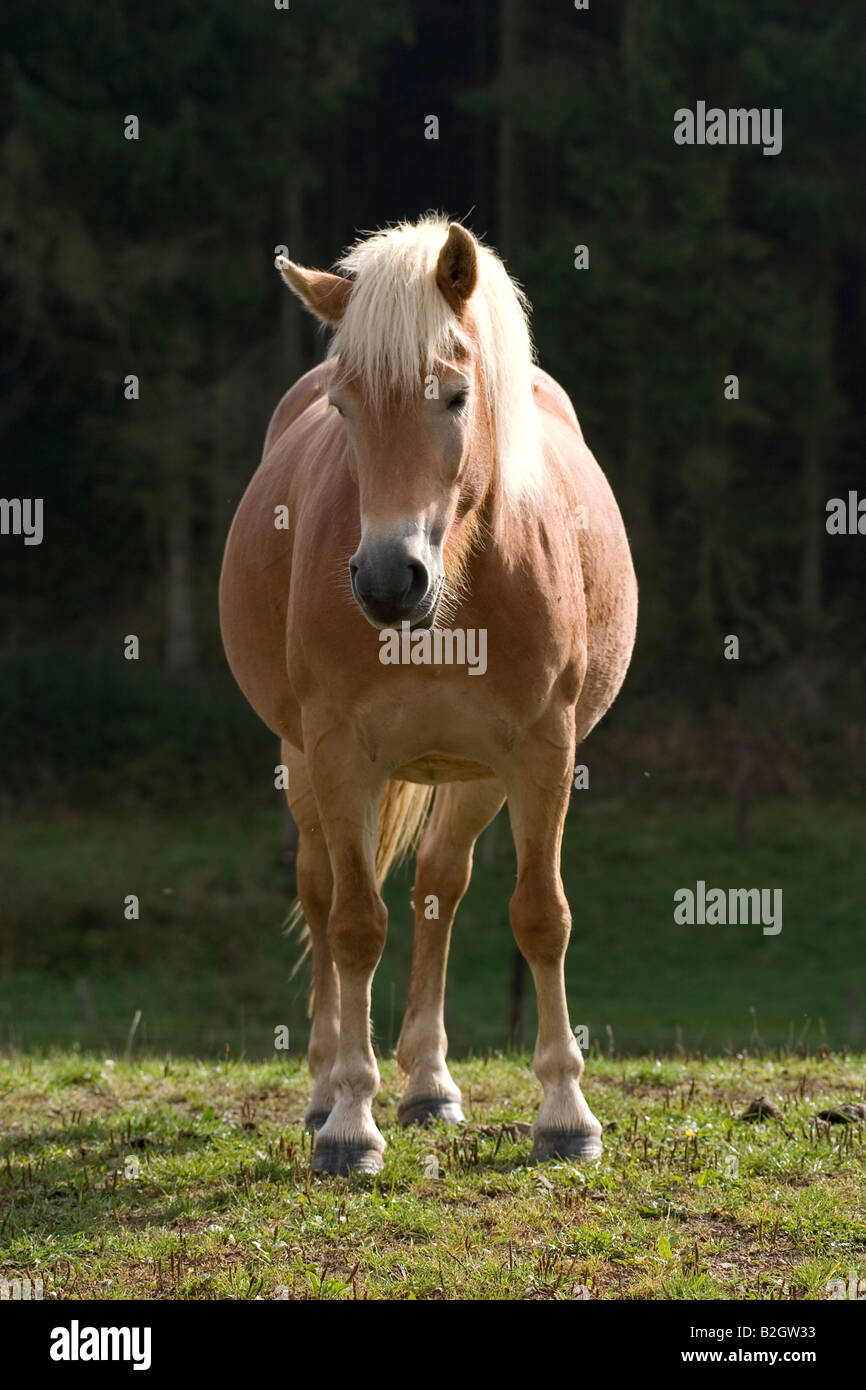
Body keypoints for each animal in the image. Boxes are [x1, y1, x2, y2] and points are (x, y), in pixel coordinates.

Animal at [219, 215, 637, 1174]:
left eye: (453, 397)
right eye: (344, 409)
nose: (386, 580)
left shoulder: (543, 749)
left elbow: (540, 917)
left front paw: (565, 1114)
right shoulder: (338, 752)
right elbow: (353, 925)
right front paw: (348, 1122)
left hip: (476, 775)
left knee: (440, 888)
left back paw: (429, 1085)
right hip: (303, 763)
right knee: (323, 892)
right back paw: (327, 1087)